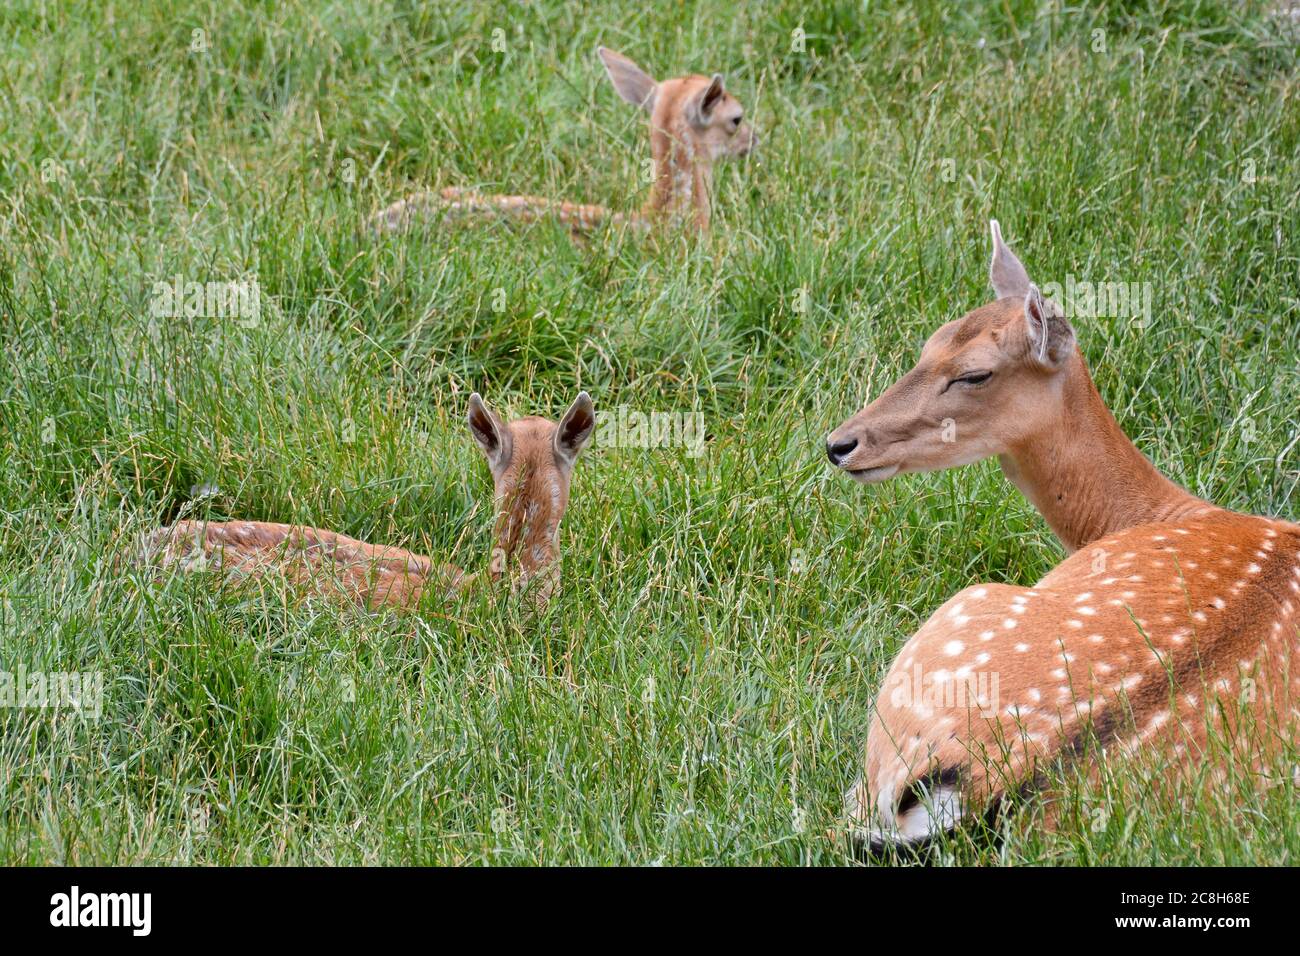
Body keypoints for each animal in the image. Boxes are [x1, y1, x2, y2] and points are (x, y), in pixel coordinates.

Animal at [825, 221, 1300, 850]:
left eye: (974, 373)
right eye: (930, 343)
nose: (839, 444)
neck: (1164, 510)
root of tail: (993, 781)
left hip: (961, 609)